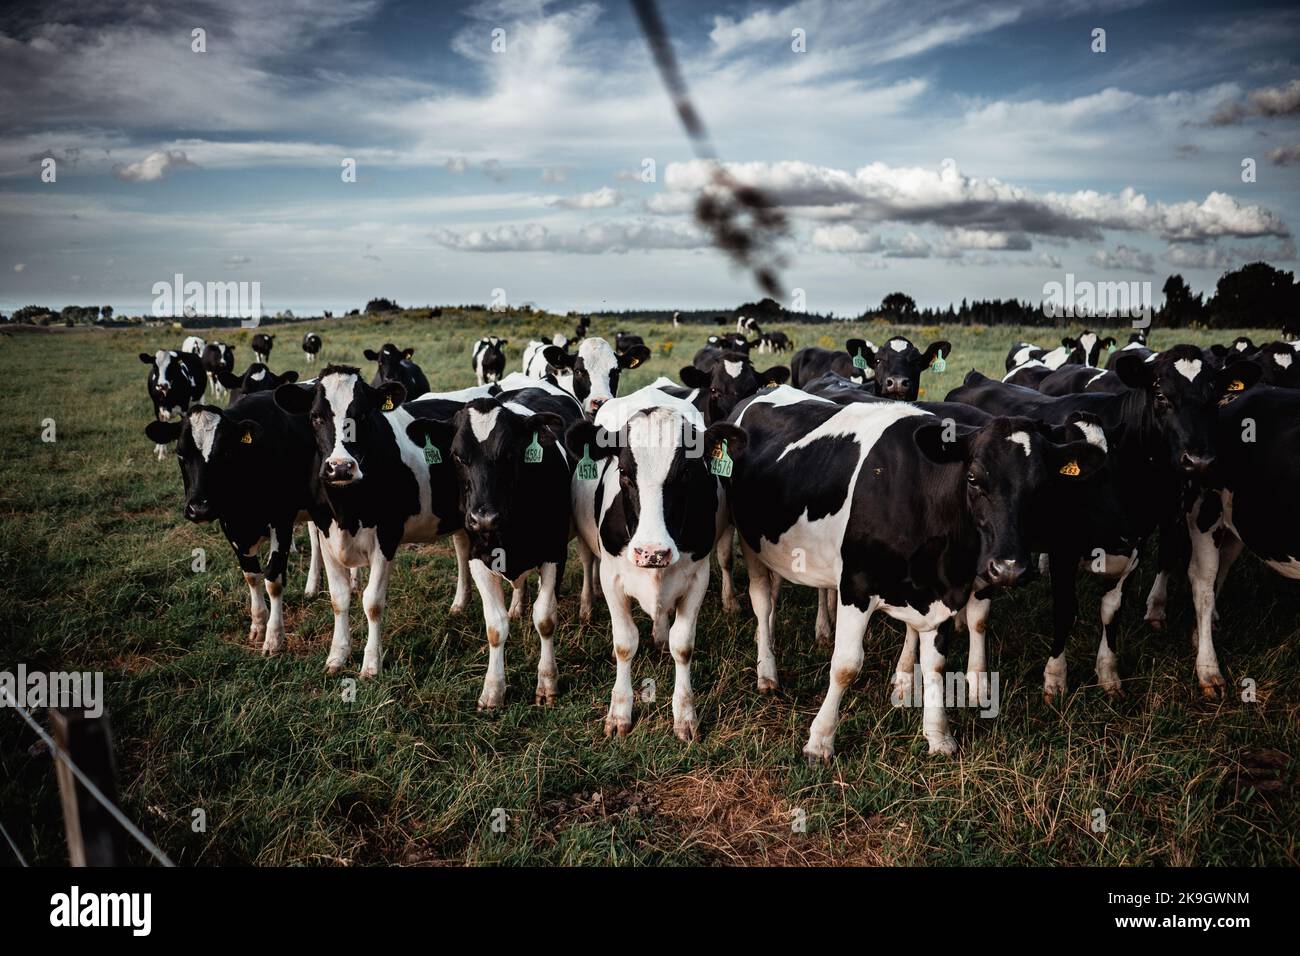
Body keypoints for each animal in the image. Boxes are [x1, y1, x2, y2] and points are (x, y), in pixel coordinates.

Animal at [143, 392, 324, 655]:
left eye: (225, 453)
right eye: (180, 453)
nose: (200, 508)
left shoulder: (282, 521)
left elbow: (273, 579)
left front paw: (273, 638)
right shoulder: (230, 526)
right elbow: (251, 575)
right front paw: (258, 625)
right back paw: (313, 586)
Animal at [273, 368, 488, 676]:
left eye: (363, 415)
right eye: (315, 416)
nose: (340, 467)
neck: (347, 511)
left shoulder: (387, 535)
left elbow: (372, 602)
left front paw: (371, 663)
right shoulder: (326, 533)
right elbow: (339, 598)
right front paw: (337, 655)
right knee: (461, 548)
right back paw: (460, 602)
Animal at [404, 380, 584, 708]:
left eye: (509, 453)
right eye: (457, 455)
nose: (484, 517)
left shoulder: (555, 553)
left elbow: (545, 618)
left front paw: (547, 683)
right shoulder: (478, 557)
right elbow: (495, 627)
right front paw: (493, 689)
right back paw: (515, 605)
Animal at [565, 386, 743, 741]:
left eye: (687, 472)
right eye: (623, 473)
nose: (652, 552)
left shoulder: (697, 576)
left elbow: (682, 645)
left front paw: (685, 716)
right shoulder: (611, 576)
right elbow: (624, 643)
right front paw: (619, 713)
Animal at [725, 385, 1104, 760]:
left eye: (1043, 486)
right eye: (973, 478)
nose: (1009, 568)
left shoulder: (940, 593)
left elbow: (935, 664)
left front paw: (938, 735)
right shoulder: (856, 585)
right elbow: (846, 665)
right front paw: (820, 741)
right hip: (750, 543)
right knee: (762, 600)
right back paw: (767, 671)